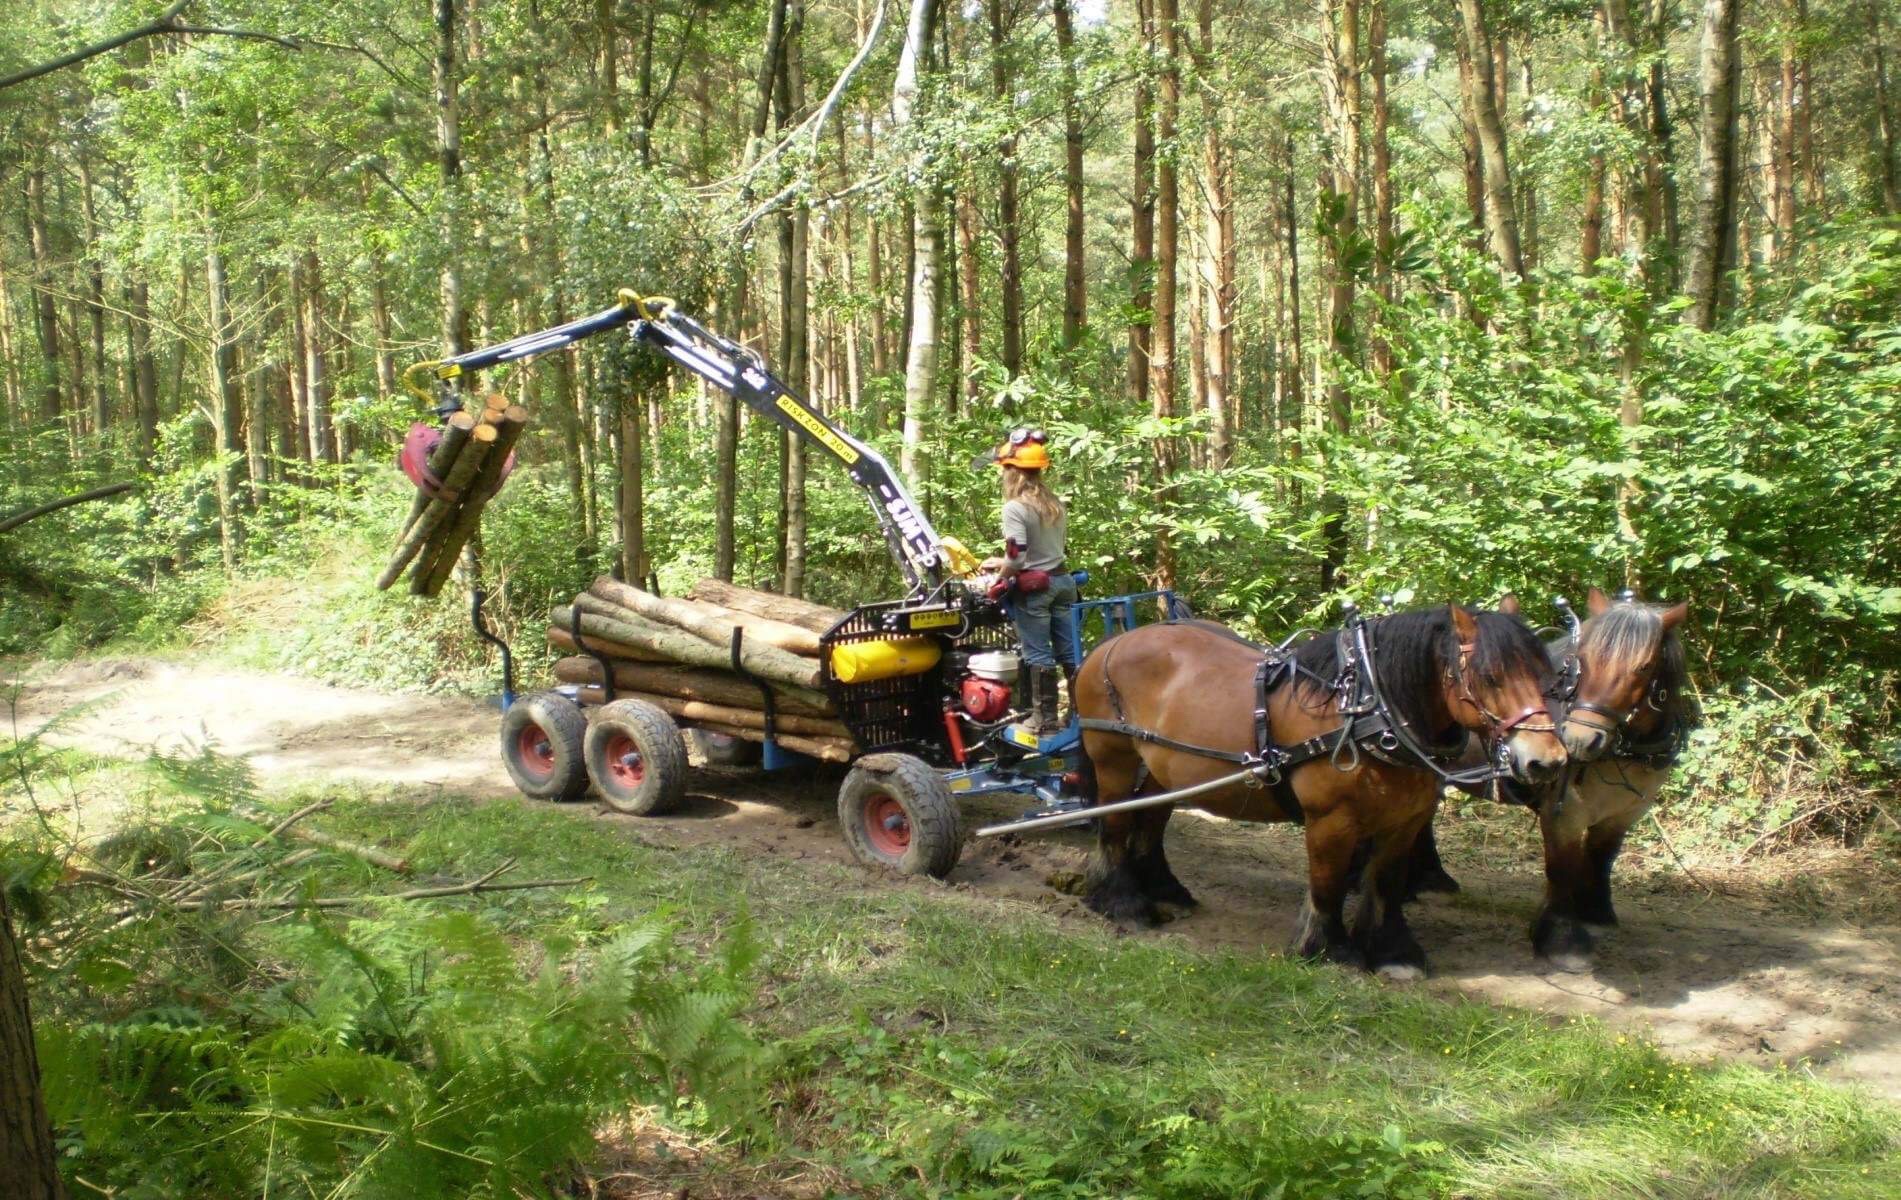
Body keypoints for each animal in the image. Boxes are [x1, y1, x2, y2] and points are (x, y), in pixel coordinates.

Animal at [1072, 603, 1567, 978]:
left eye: (1546, 677)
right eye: (1490, 677)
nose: (1546, 760)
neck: (1368, 710)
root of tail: (1111, 644)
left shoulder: (1404, 823)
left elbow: (1386, 884)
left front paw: (1393, 951)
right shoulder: (1332, 820)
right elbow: (1327, 883)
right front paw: (1329, 949)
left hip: (1163, 767)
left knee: (1151, 823)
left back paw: (1164, 889)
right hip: (1114, 760)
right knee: (1115, 826)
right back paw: (1123, 903)